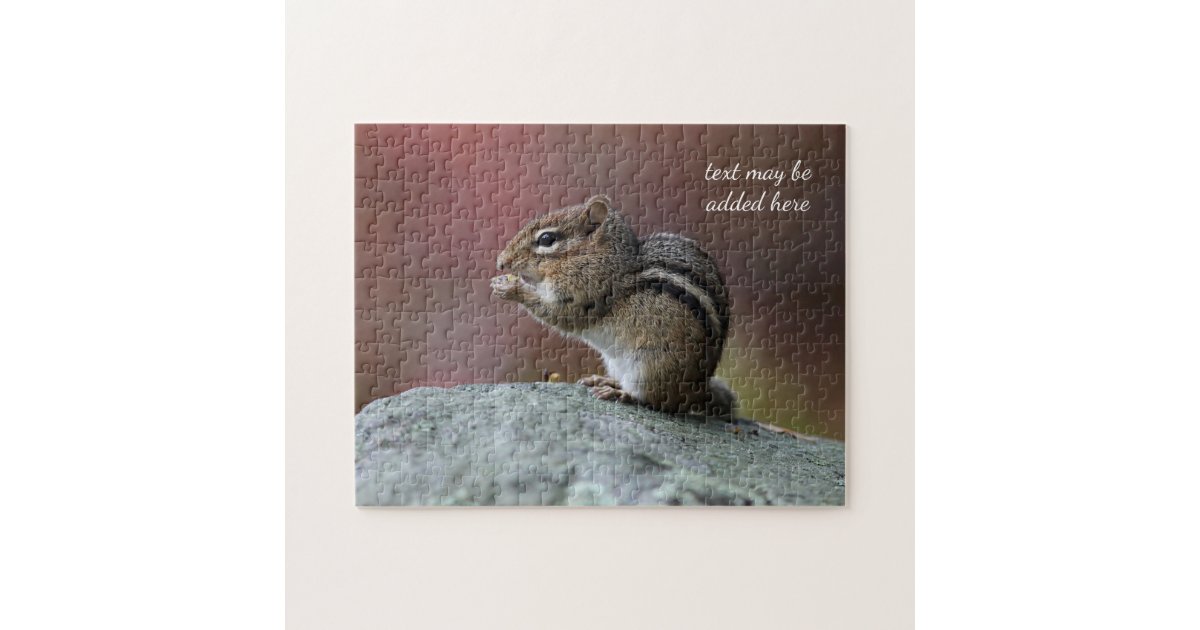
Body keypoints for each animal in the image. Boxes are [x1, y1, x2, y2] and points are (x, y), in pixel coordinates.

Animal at [491, 194, 736, 419]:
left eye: (547, 238)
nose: (501, 262)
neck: (600, 258)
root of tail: (697, 391)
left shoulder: (583, 296)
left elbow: (559, 314)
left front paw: (511, 288)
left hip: (651, 368)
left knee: (654, 401)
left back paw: (622, 394)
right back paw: (605, 381)